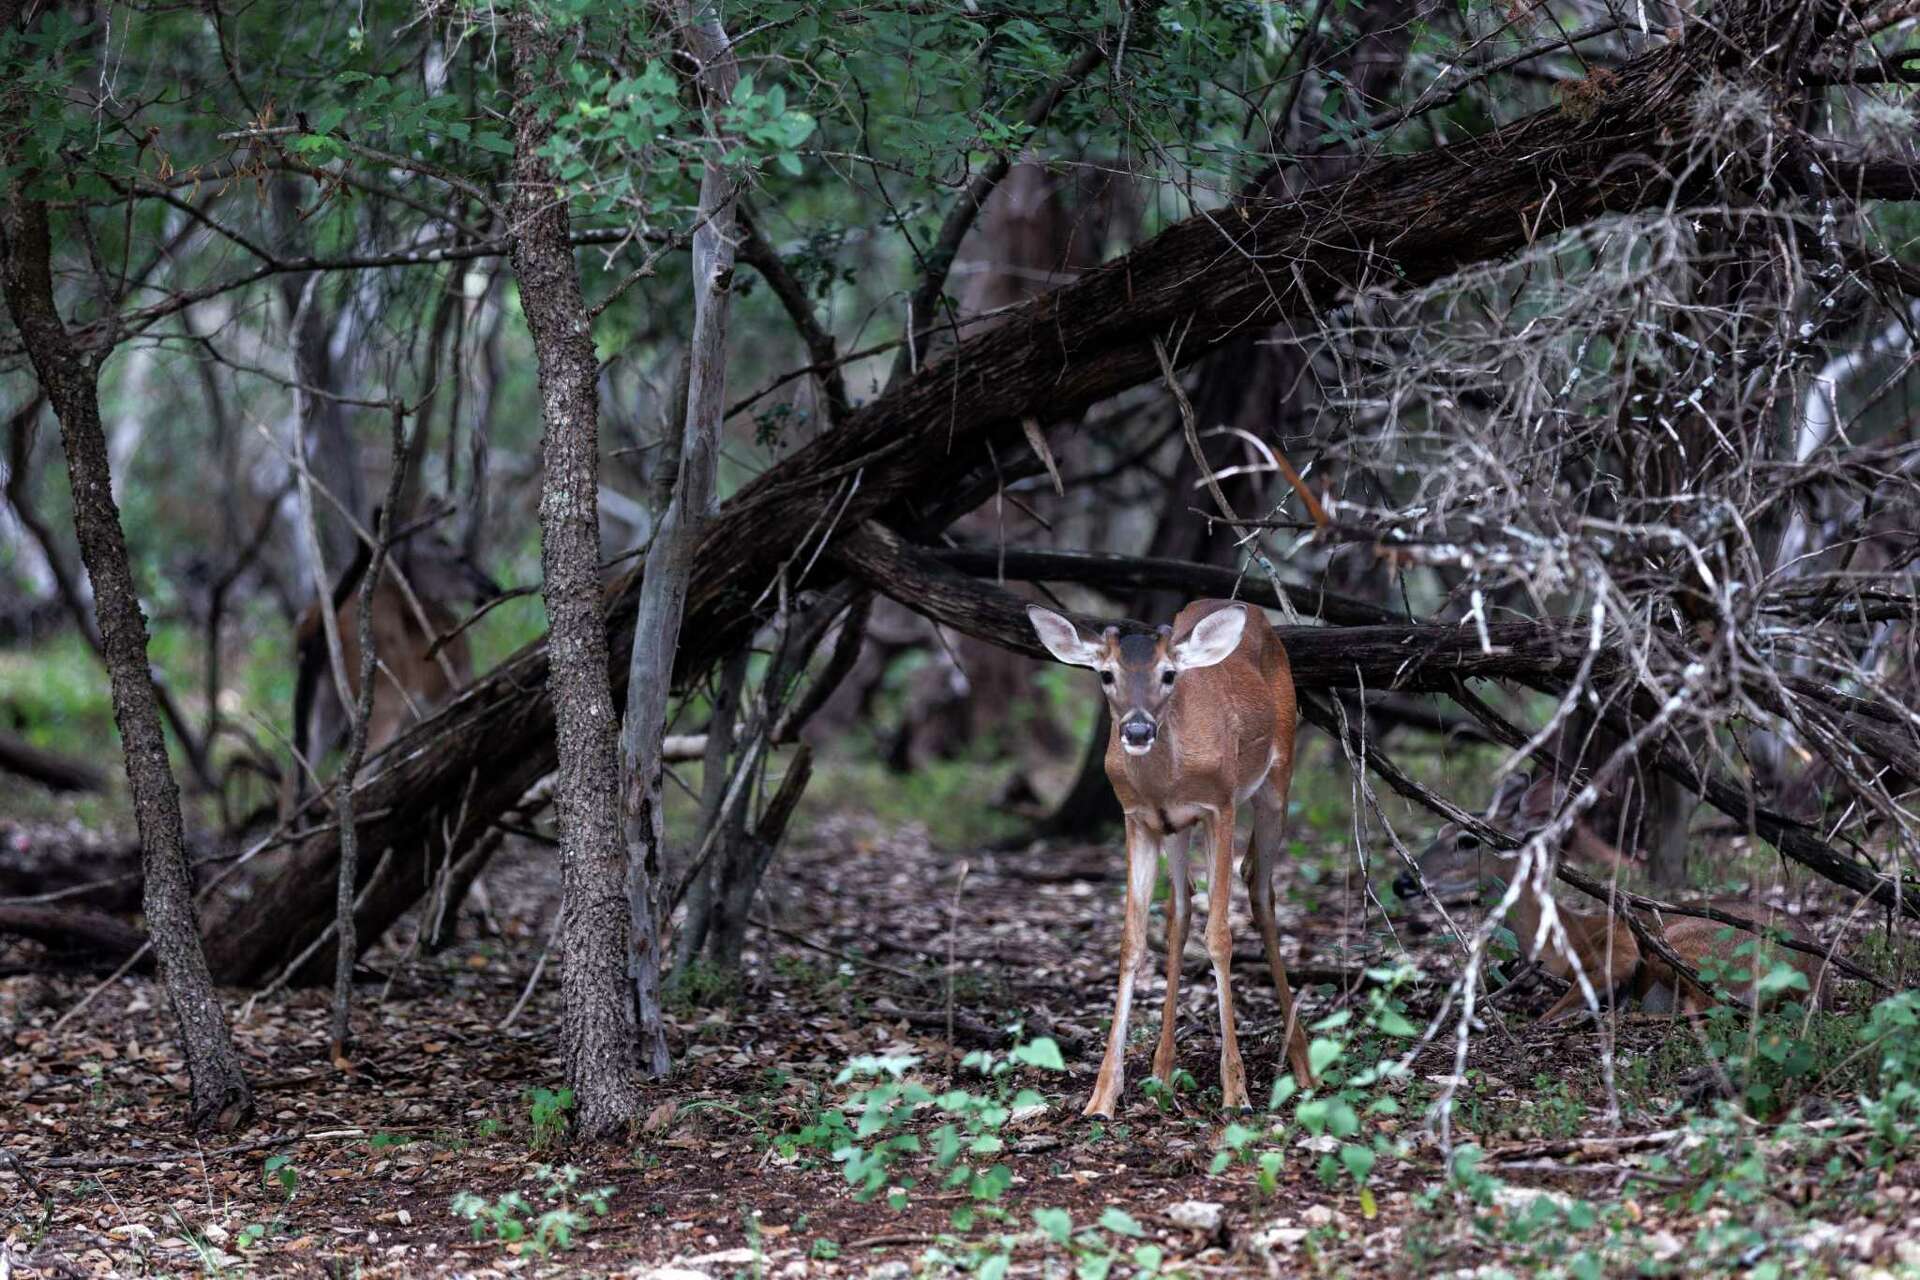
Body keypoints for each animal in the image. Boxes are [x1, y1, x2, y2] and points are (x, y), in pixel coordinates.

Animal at [1026, 599, 1315, 1117]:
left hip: (1276, 780)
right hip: (1178, 830)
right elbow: (1132, 941)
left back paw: (1302, 1065)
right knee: (1181, 907)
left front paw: (1236, 1091)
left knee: (1259, 886)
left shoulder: (1220, 805)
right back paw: (1162, 1072)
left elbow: (1219, 935)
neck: (1167, 778)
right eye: (1105, 673)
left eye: (1167, 674)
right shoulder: (1139, 818)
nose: (1138, 729)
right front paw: (1102, 1095)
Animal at [1396, 773, 1831, 1023]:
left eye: (1466, 840)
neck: (1559, 937)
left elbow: (1547, 1015)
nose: (1403, 882)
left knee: (1704, 1006)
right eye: (1437, 832)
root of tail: (1805, 979)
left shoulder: (1617, 949)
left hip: (1685, 946)